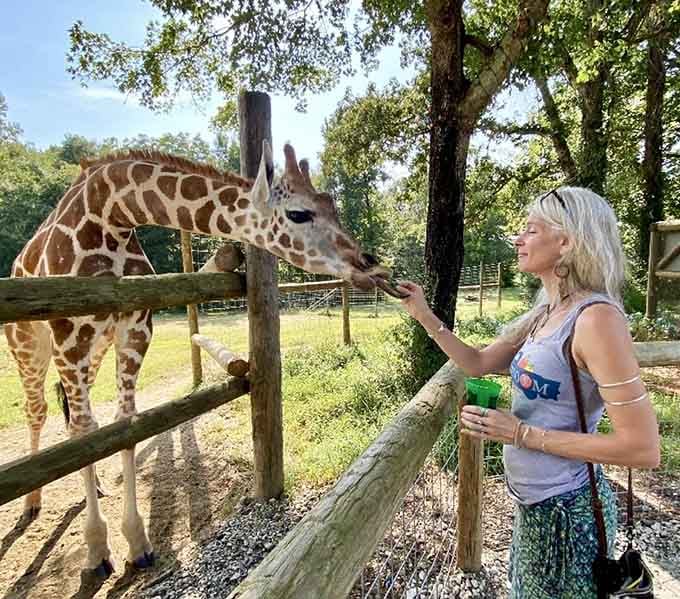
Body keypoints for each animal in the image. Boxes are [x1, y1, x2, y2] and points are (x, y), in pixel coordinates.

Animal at [3, 141, 394, 576]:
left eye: (332, 206)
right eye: (298, 213)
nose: (371, 265)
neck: (111, 215)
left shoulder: (135, 329)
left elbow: (125, 427)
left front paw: (138, 543)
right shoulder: (71, 337)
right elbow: (89, 430)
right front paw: (97, 550)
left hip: (94, 348)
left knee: (74, 414)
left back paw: (95, 487)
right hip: (32, 346)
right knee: (41, 410)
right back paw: (32, 501)